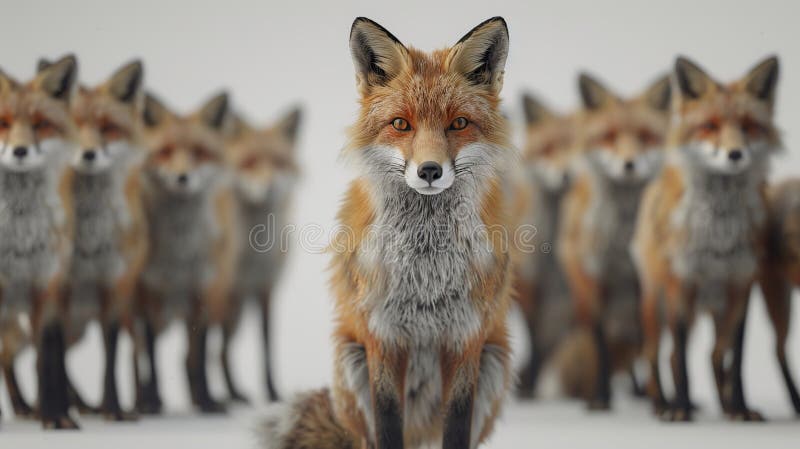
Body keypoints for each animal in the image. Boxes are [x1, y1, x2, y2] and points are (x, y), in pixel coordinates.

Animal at [134, 91, 240, 414]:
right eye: (166, 151)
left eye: (200, 151)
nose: (182, 177)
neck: (178, 256)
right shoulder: (148, 292)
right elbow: (152, 356)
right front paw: (154, 400)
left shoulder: (202, 290)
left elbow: (199, 355)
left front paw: (206, 401)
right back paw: (140, 399)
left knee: (187, 357)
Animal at [214, 107, 302, 402]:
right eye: (250, 162)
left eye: (279, 161)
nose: (269, 186)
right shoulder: (226, 292)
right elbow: (218, 349)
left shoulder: (265, 287)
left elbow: (266, 347)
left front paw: (272, 393)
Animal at [260, 16, 515, 449]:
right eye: (400, 124)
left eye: (459, 123)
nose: (429, 170)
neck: (427, 271)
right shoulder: (382, 337)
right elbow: (388, 422)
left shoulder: (466, 337)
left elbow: (457, 425)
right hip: (351, 362)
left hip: (494, 363)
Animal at [557, 72, 671, 409]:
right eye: (609, 136)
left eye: (646, 136)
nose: (629, 164)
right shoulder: (595, 277)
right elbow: (600, 346)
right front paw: (600, 397)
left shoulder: (642, 280)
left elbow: (649, 341)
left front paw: (656, 397)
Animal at [632, 55, 781, 421]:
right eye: (710, 126)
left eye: (748, 126)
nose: (735, 154)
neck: (719, 235)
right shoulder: (681, 280)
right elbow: (682, 358)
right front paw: (681, 410)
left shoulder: (742, 282)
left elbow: (734, 358)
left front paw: (740, 407)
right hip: (655, 301)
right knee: (658, 353)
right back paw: (663, 404)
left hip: (716, 304)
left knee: (712, 355)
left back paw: (725, 405)